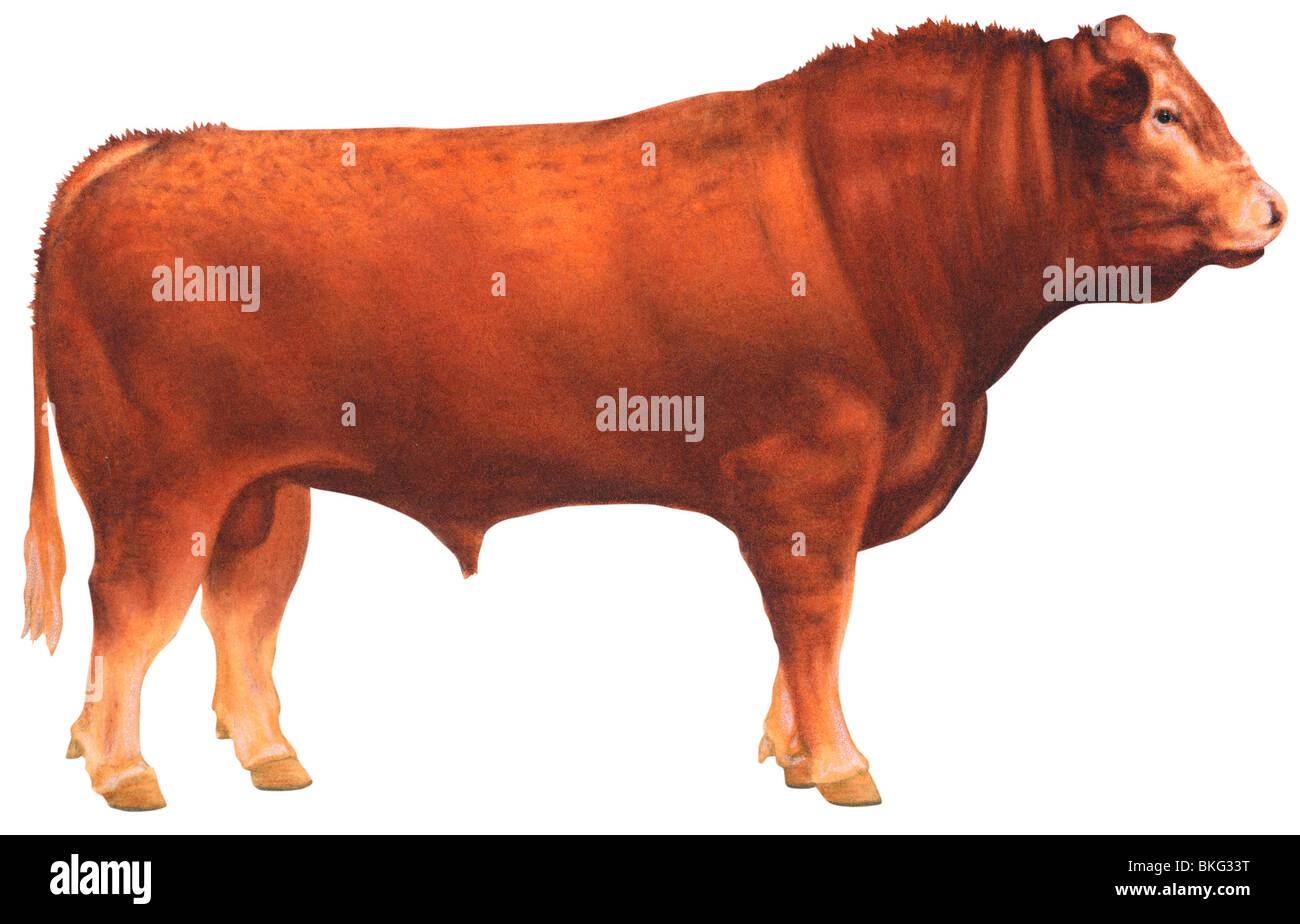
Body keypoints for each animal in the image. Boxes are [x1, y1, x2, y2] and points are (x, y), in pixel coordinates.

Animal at [23, 15, 1285, 810]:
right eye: (1163, 117)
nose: (1271, 210)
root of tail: (141, 147)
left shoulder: (823, 495)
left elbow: (799, 630)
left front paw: (789, 756)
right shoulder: (806, 477)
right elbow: (817, 619)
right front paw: (842, 766)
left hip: (263, 490)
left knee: (239, 609)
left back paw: (271, 759)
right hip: (159, 487)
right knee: (130, 610)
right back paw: (125, 775)